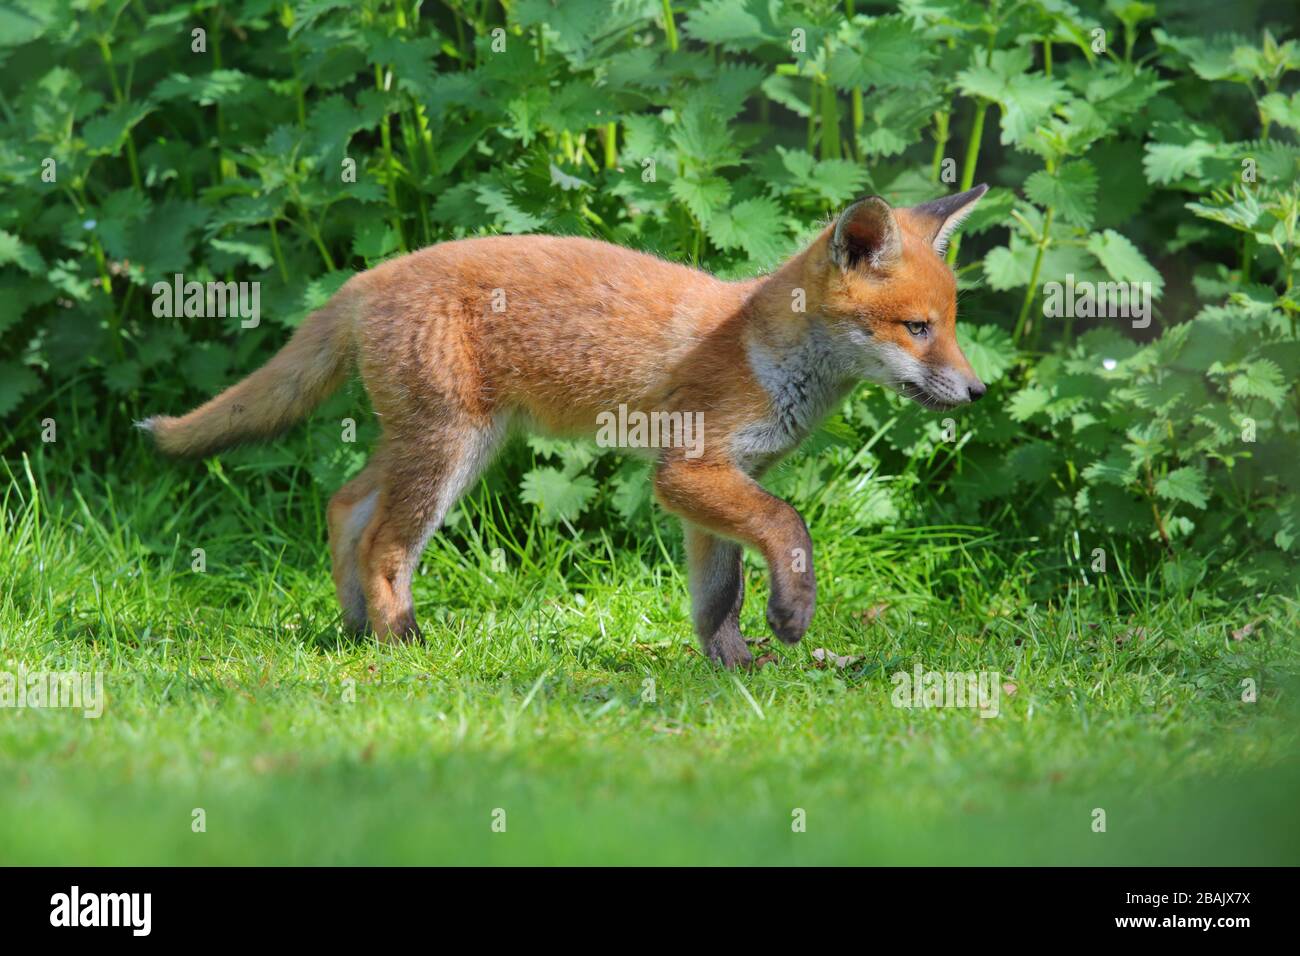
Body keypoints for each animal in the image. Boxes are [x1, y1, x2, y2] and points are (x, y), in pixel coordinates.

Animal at [141, 185, 989, 668]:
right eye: (917, 327)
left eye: (951, 325)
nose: (979, 390)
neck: (765, 351)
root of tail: (367, 276)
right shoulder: (689, 470)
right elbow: (791, 529)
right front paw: (792, 616)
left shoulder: (718, 485)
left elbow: (719, 596)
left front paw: (734, 669)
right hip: (449, 452)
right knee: (384, 543)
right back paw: (404, 644)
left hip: (437, 443)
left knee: (345, 506)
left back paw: (357, 634)